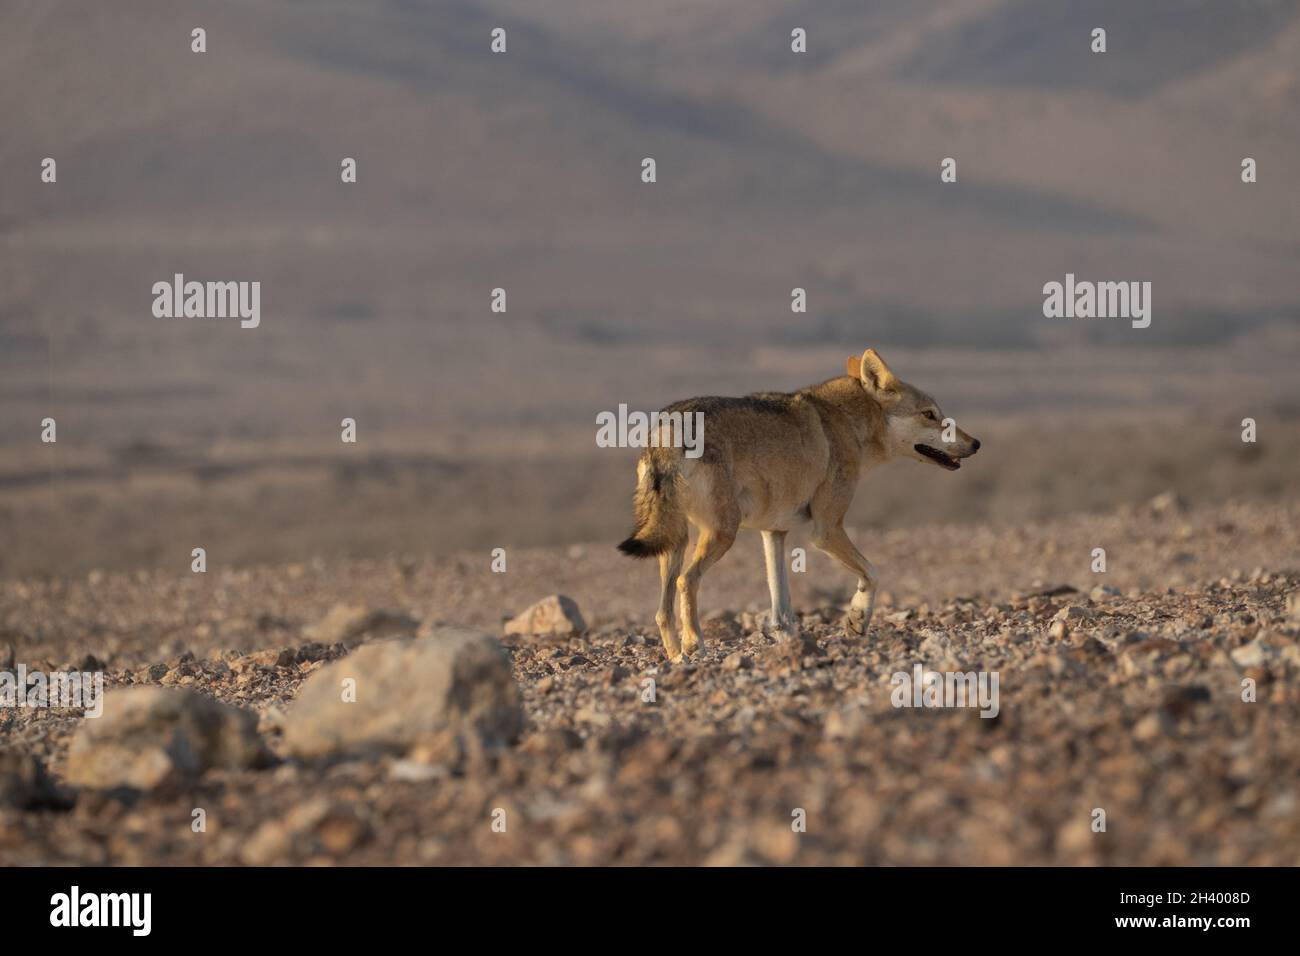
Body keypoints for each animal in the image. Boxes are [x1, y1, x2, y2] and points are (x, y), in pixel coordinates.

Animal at [617, 348, 980, 662]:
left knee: (662, 610)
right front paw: (857, 619)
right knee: (686, 582)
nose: (976, 443)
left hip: (675, 540)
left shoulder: (774, 532)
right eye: (930, 415)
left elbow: (782, 611)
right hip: (721, 534)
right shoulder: (826, 530)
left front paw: (790, 644)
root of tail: (665, 429)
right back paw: (696, 645)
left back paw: (677, 657)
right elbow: (874, 573)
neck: (847, 423)